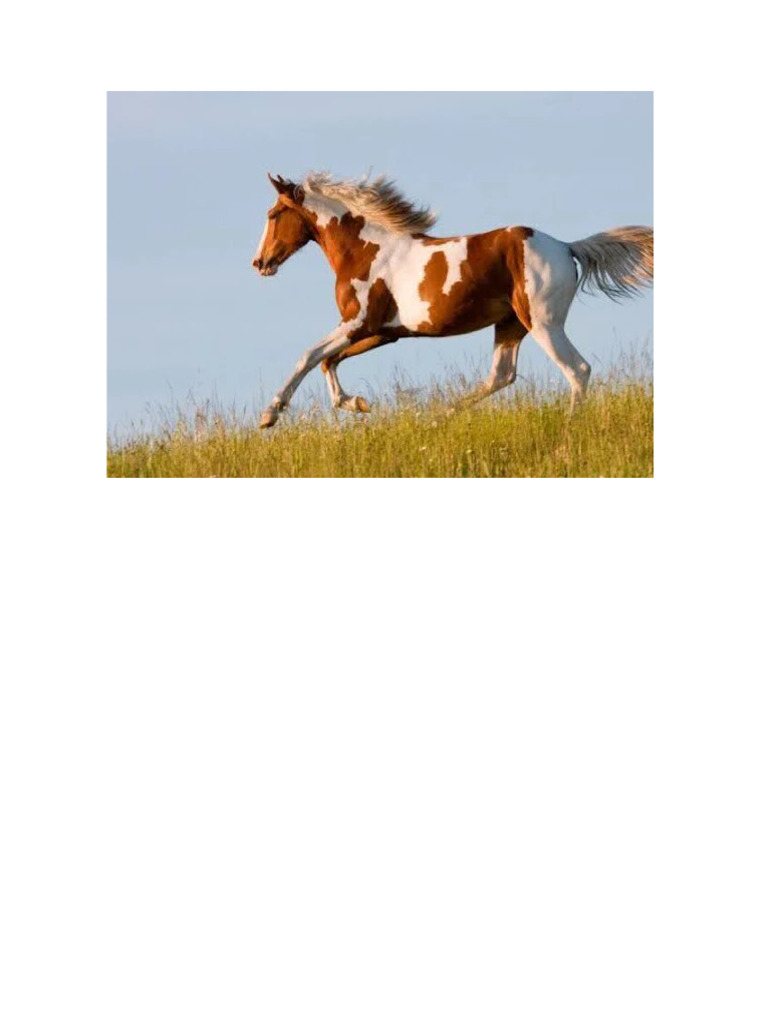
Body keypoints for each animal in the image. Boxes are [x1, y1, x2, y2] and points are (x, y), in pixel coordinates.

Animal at [252, 172, 653, 428]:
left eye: (273, 214)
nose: (260, 263)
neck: (366, 250)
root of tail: (567, 247)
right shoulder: (383, 332)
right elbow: (328, 361)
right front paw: (357, 403)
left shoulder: (358, 322)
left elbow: (309, 356)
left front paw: (270, 414)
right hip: (510, 324)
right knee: (501, 376)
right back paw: (437, 418)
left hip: (543, 323)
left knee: (577, 370)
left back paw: (567, 433)